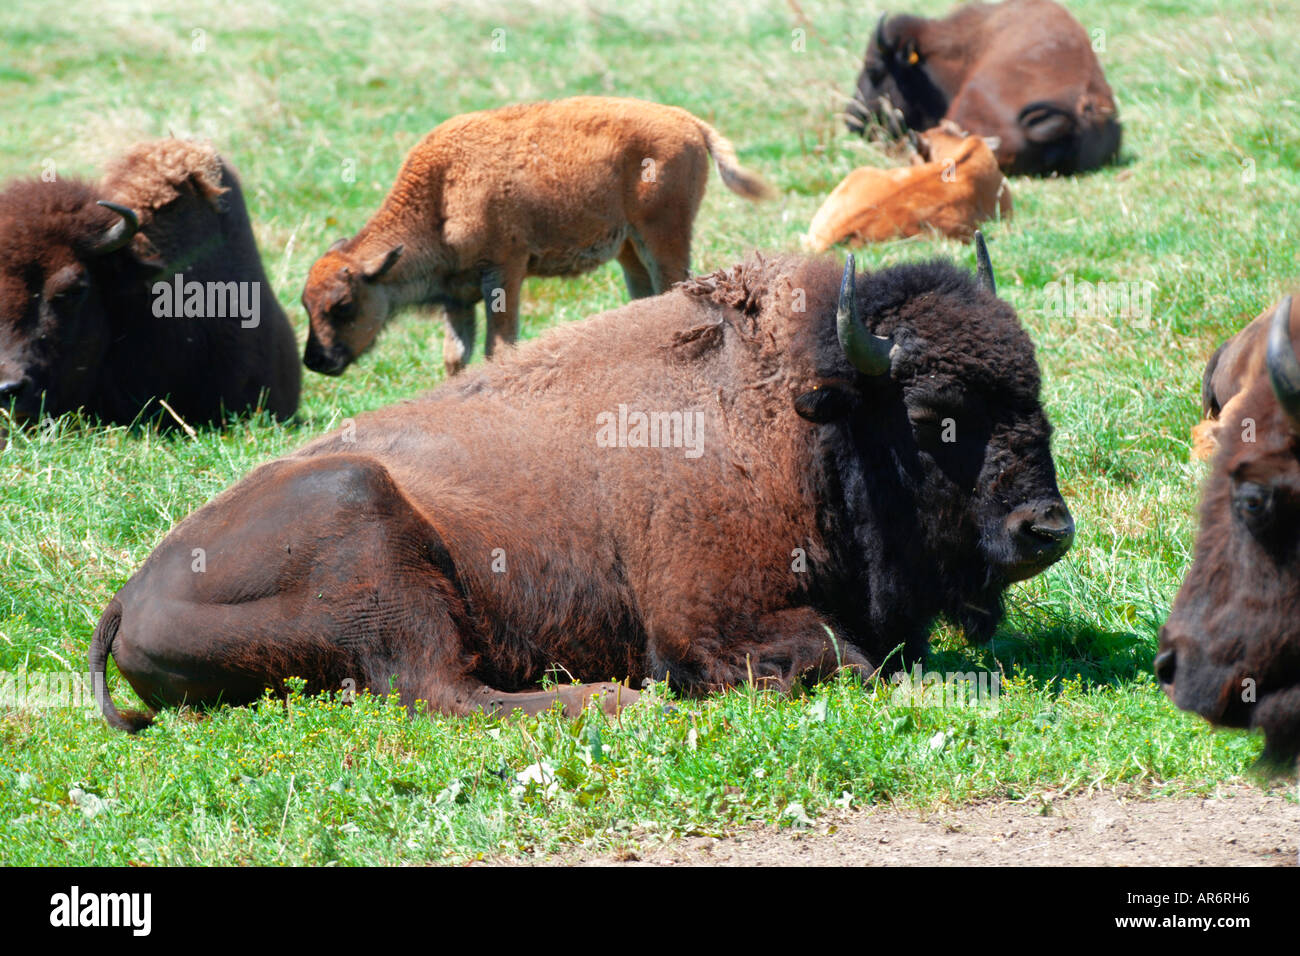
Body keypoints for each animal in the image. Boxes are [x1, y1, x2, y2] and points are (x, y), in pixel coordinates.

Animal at [90, 242, 1073, 731]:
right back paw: (615, 701)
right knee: (443, 690)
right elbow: (844, 660)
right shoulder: (708, 622)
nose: (1047, 529)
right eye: (932, 415)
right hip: (365, 525)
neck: (803, 420)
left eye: (1035, 393)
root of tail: (132, 592)